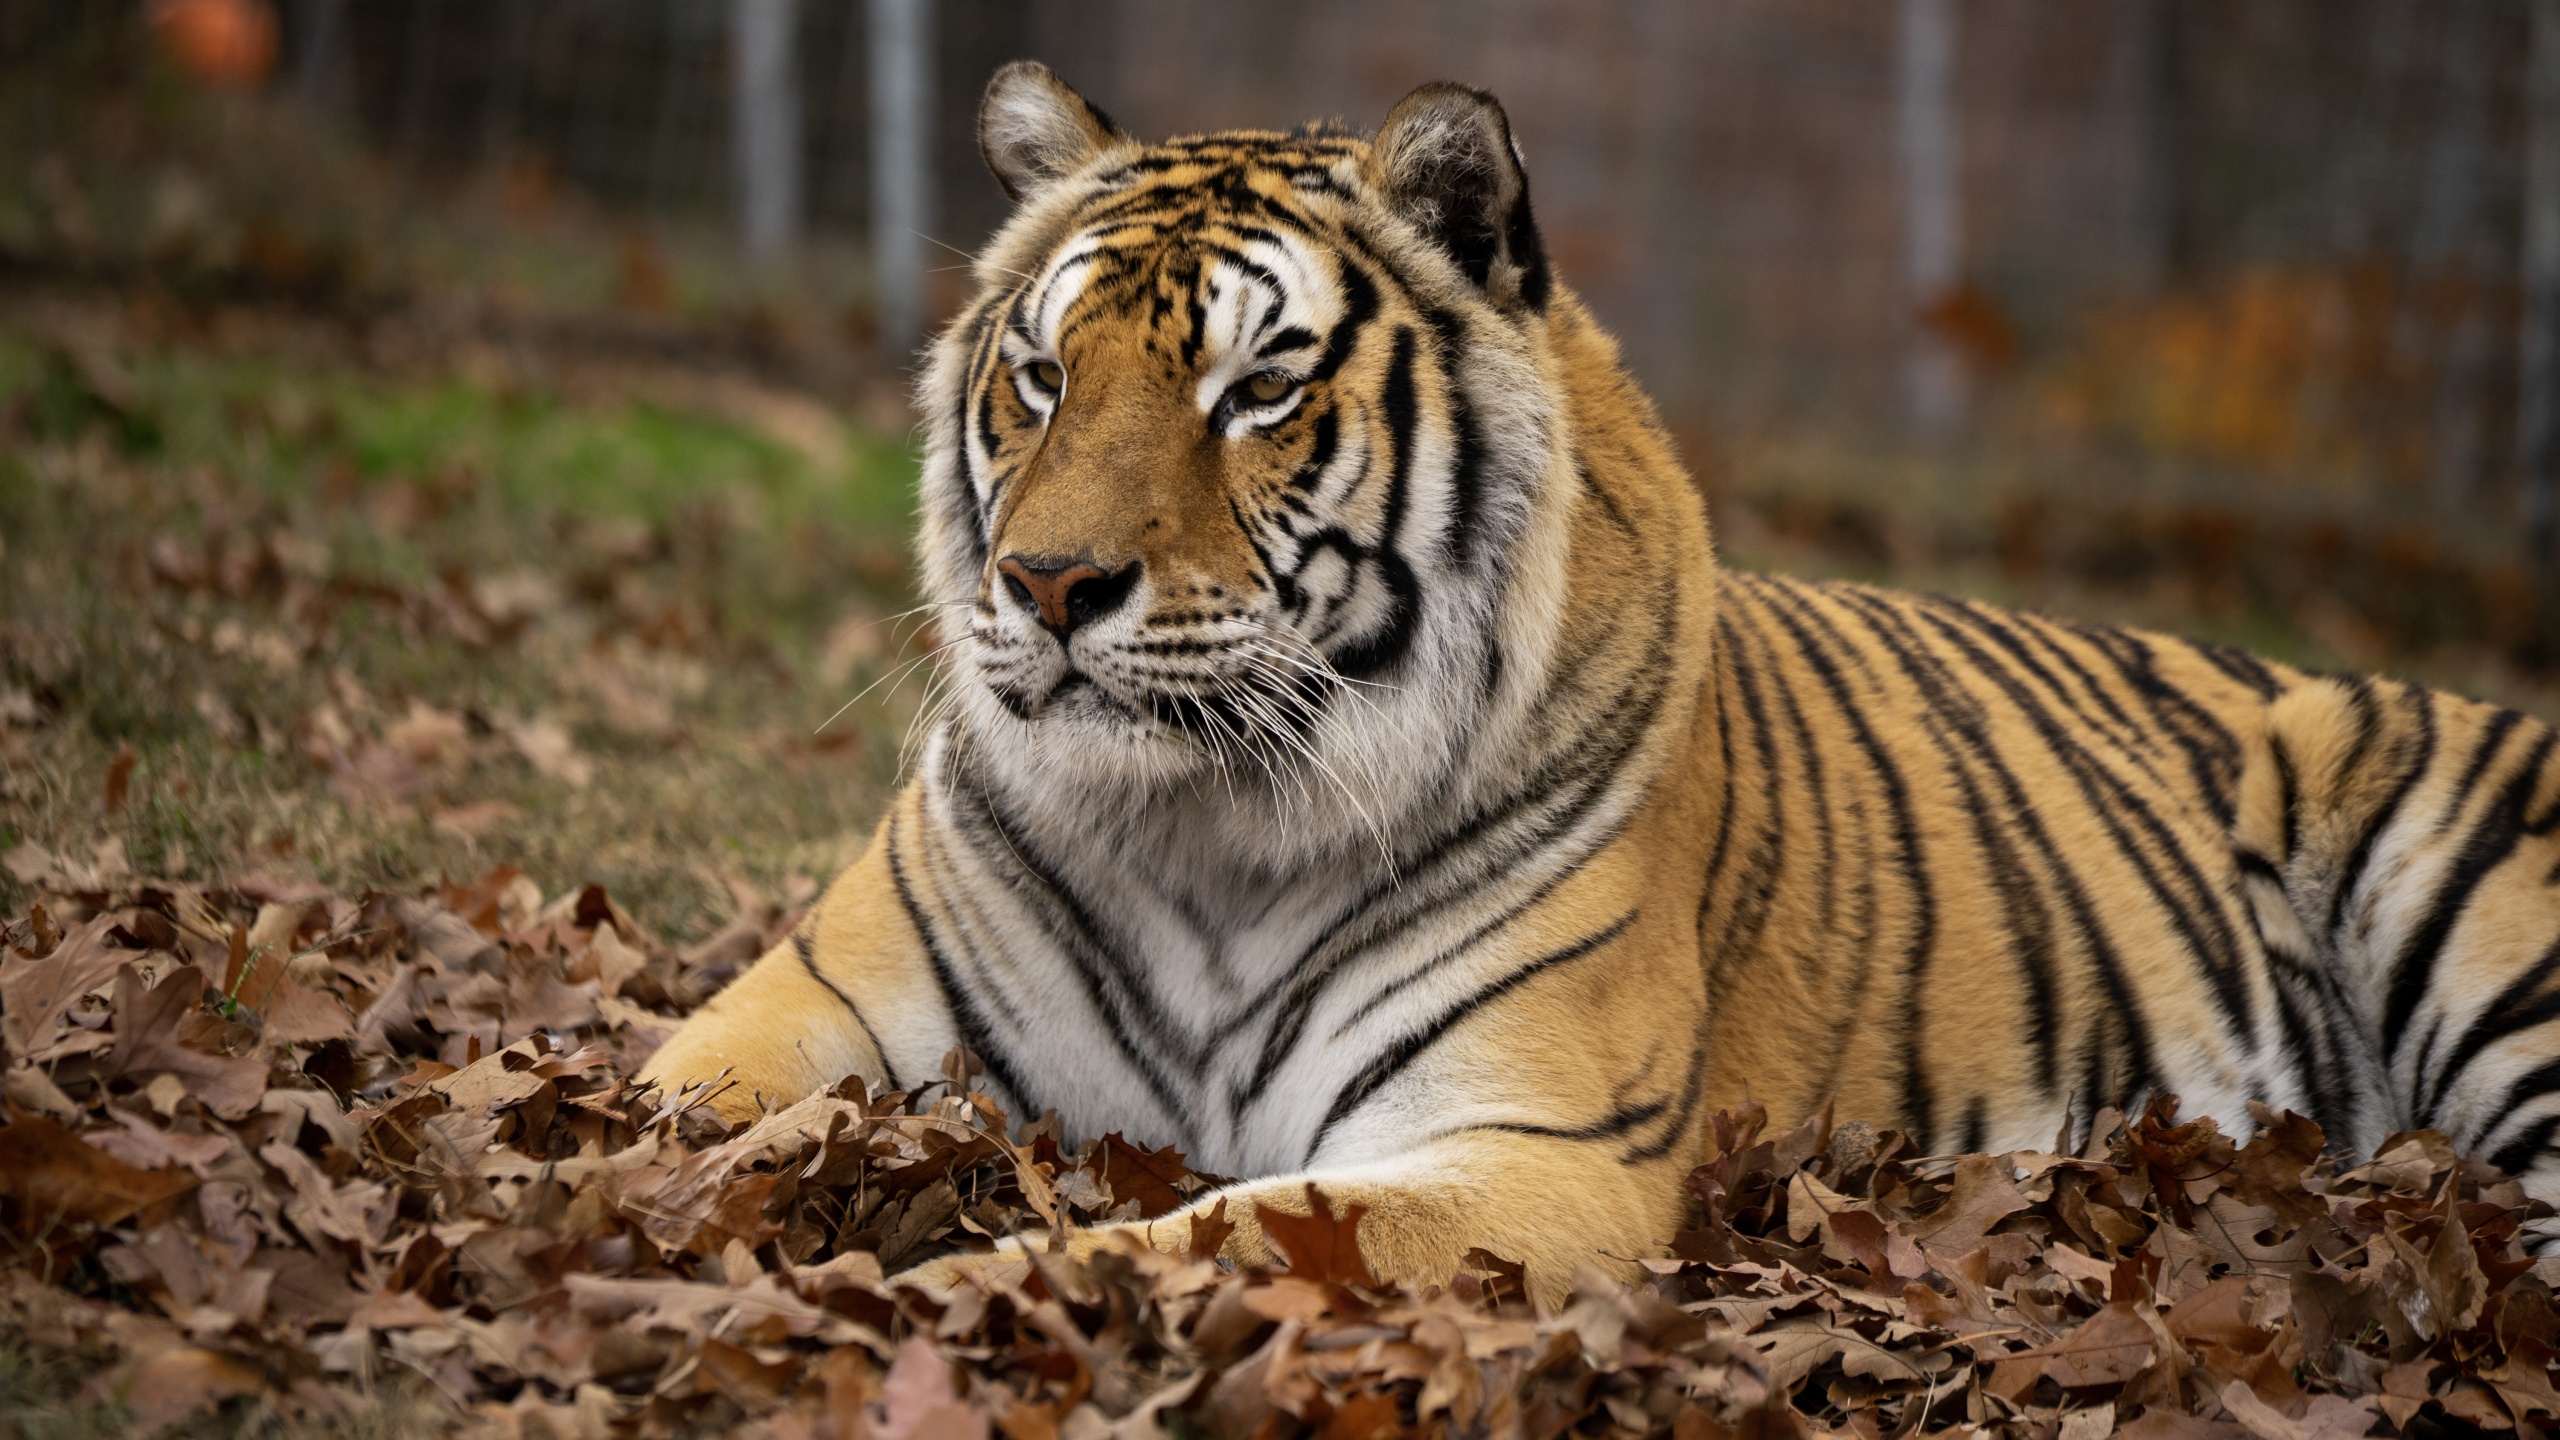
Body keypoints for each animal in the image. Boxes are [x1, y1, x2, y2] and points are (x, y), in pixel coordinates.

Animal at [639, 61, 2560, 1303]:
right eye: (1042, 375)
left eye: (1257, 391)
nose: (1045, 586)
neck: (1206, 826)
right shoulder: (813, 994)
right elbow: (660, 1104)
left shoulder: (1526, 1143)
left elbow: (1206, 1232)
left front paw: (953, 1293)